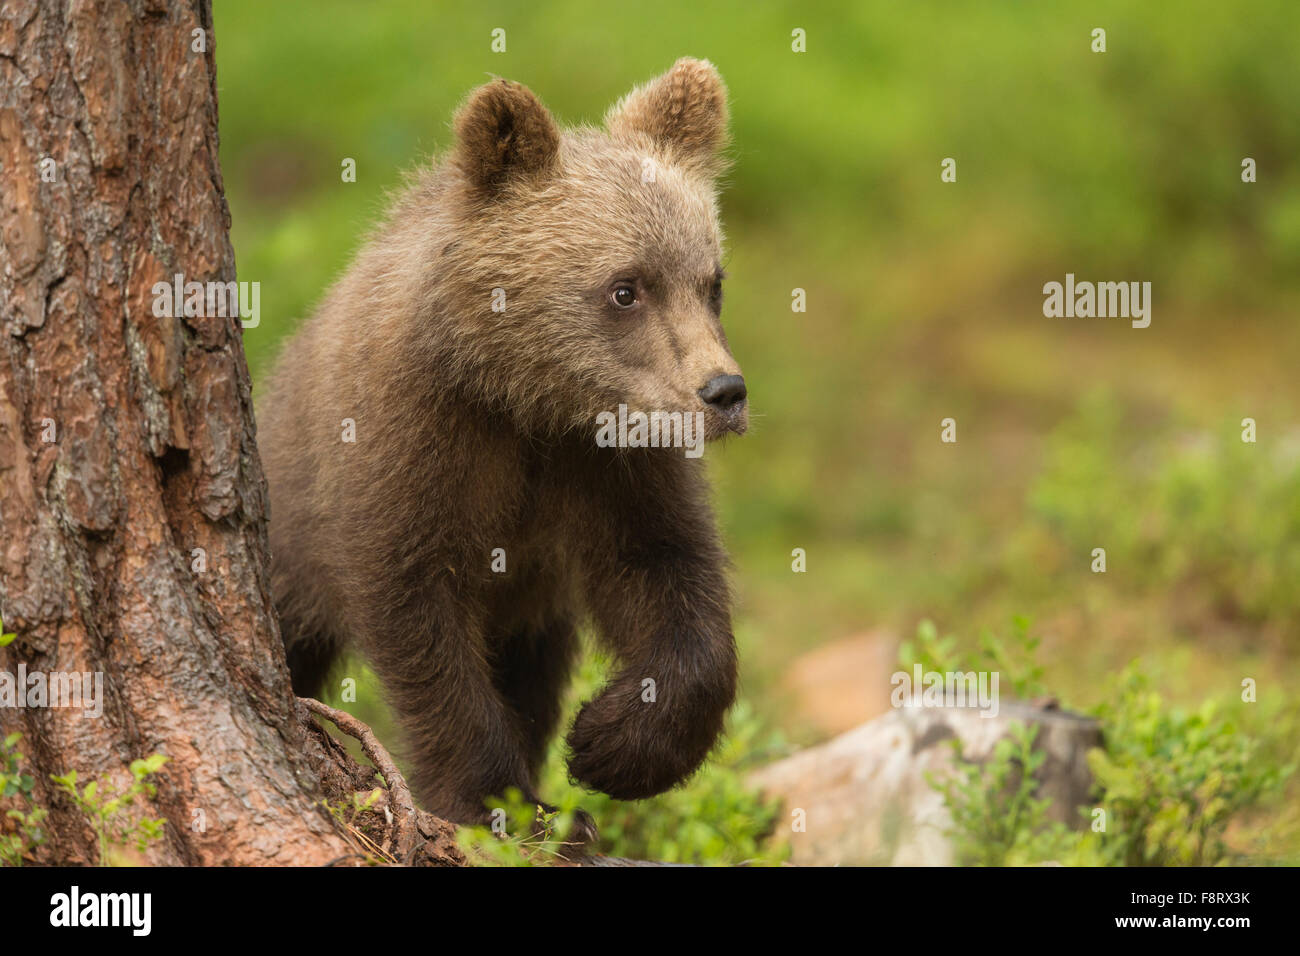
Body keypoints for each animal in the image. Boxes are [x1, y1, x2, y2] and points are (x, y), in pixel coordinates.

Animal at [258, 58, 748, 840]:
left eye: (712, 282)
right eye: (625, 289)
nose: (723, 392)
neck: (522, 399)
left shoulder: (609, 463)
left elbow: (667, 571)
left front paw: (611, 743)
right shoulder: (410, 446)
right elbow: (421, 623)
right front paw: (492, 799)